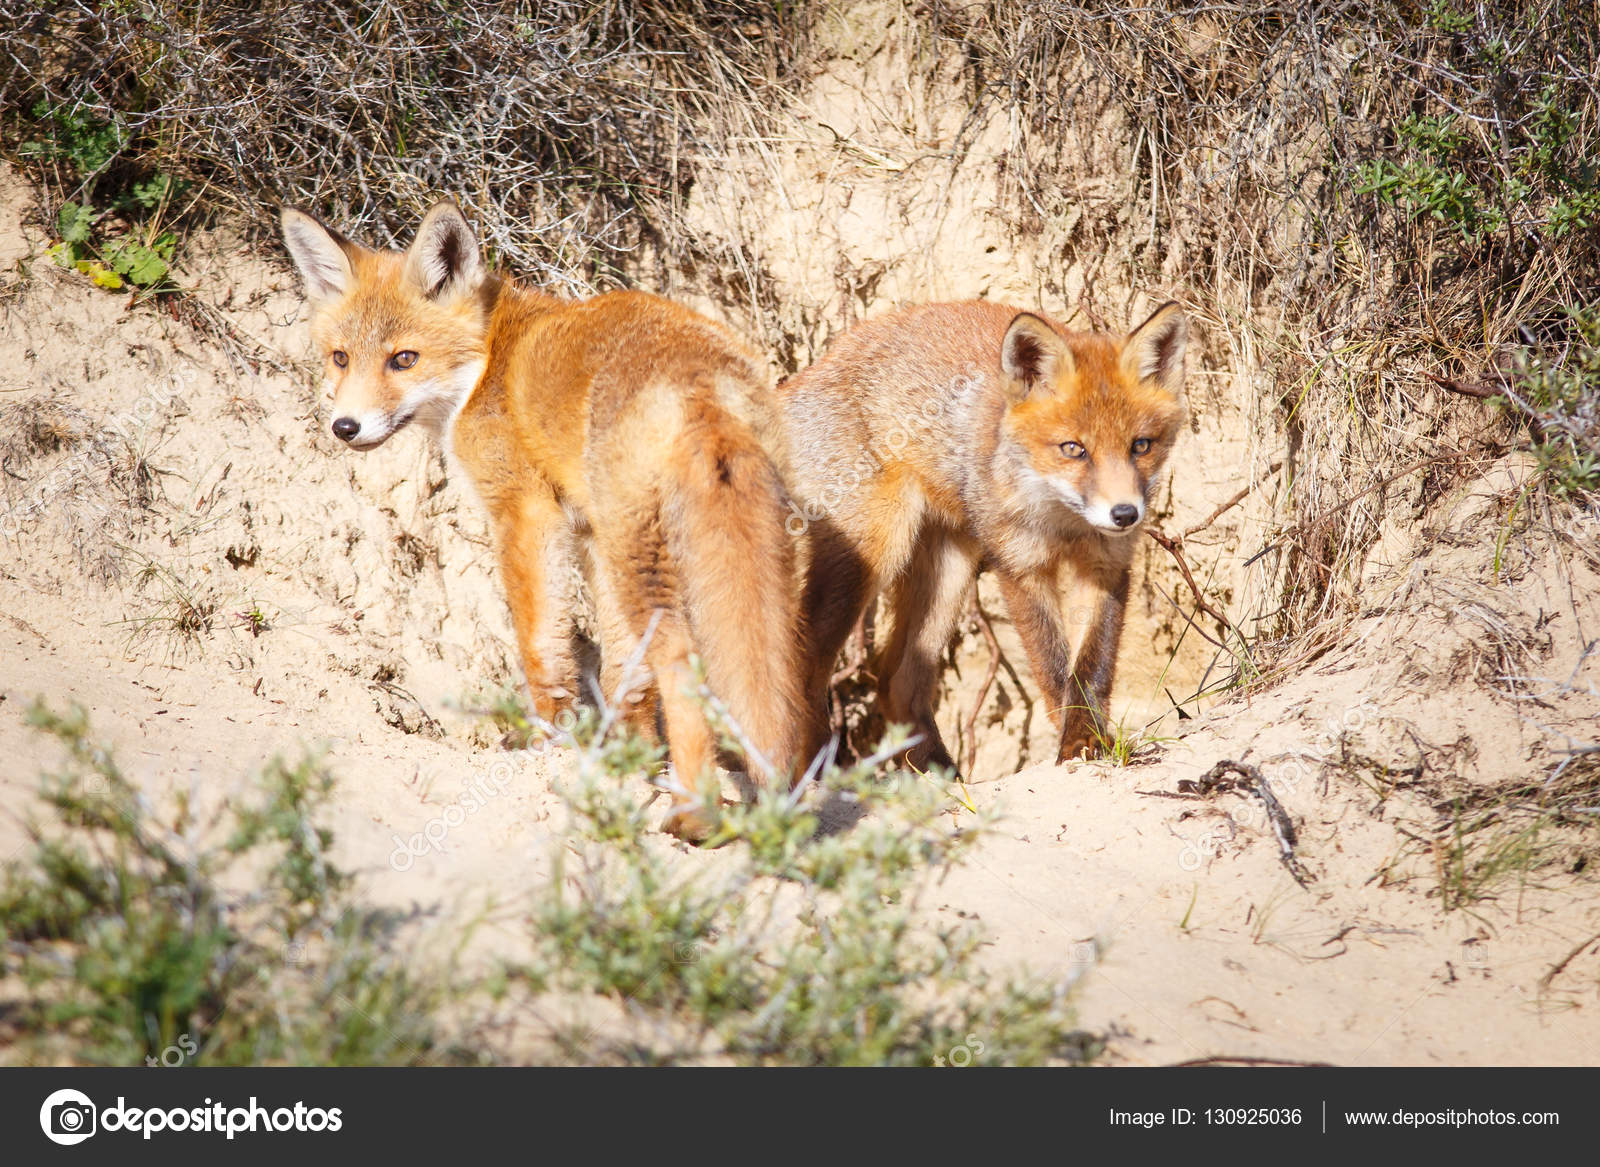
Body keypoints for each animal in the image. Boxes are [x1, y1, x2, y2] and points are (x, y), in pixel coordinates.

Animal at [278, 199, 807, 840]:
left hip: (642, 558)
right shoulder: (590, 534)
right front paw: (627, 754)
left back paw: (694, 815)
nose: (345, 427)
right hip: (747, 553)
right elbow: (621, 673)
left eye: (403, 359)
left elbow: (540, 642)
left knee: (682, 664)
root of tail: (698, 382)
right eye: (340, 358)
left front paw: (548, 733)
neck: (485, 363)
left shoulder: (526, 514)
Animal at [778, 299, 1188, 771]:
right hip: (874, 553)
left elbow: (1091, 667)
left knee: (893, 679)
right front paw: (1075, 744)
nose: (1125, 514)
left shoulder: (1106, 566)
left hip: (947, 573)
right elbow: (1053, 666)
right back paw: (813, 773)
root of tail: (807, 372)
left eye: (1141, 445)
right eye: (1074, 449)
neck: (1064, 523)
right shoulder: (1020, 567)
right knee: (805, 664)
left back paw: (938, 775)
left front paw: (1088, 739)